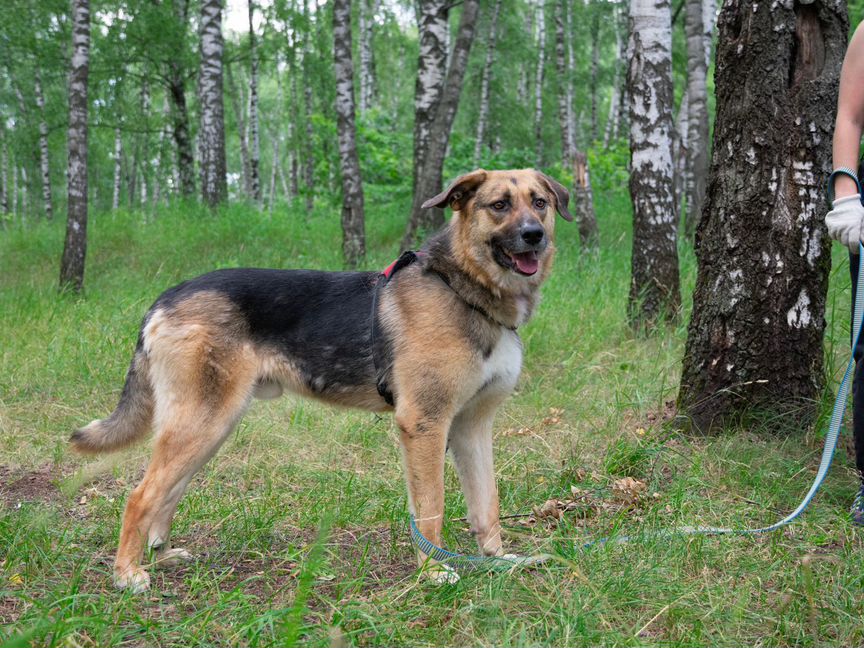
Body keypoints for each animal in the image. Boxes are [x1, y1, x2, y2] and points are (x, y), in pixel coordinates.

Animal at [71, 168, 572, 592]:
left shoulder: (473, 428)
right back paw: (128, 574)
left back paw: (160, 554)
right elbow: (431, 510)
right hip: (201, 423)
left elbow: (488, 505)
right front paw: (432, 570)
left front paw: (498, 560)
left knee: (167, 492)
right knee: (140, 496)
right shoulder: (425, 426)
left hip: (210, 427)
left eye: (539, 202)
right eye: (499, 205)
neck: (464, 289)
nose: (535, 236)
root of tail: (166, 297)